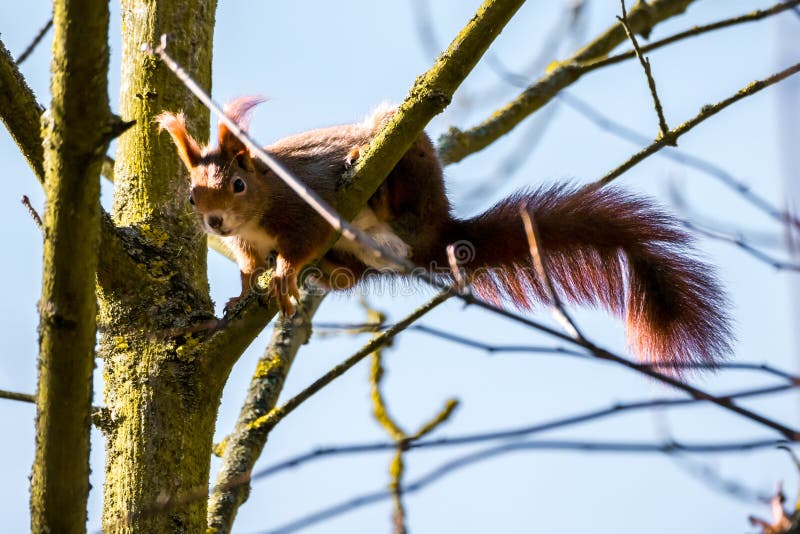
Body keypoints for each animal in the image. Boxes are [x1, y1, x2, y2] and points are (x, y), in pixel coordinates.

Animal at [157, 96, 732, 369]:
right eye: (192, 196)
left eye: (236, 185)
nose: (213, 222)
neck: (257, 212)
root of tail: (440, 230)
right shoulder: (245, 243)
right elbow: (247, 265)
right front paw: (240, 294)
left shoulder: (305, 209)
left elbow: (296, 248)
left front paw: (283, 273)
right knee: (348, 274)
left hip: (411, 174)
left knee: (397, 199)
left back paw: (363, 167)